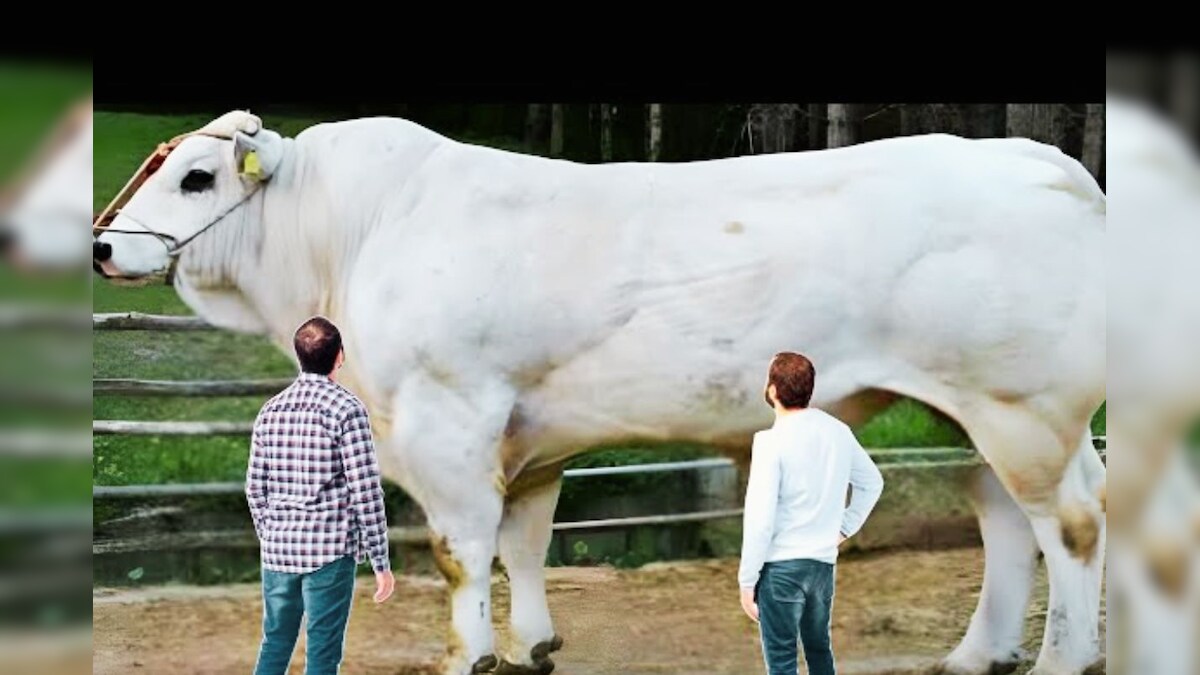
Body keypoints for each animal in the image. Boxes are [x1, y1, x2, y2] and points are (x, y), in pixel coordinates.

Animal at [93, 109, 1106, 675]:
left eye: (197, 176)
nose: (103, 245)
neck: (349, 237)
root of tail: (1041, 161)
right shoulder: (529, 430)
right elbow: (525, 539)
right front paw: (532, 645)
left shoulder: (447, 414)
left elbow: (462, 549)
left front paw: (468, 654)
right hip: (975, 409)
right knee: (1003, 516)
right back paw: (978, 654)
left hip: (1024, 407)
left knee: (1073, 527)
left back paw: (1064, 659)